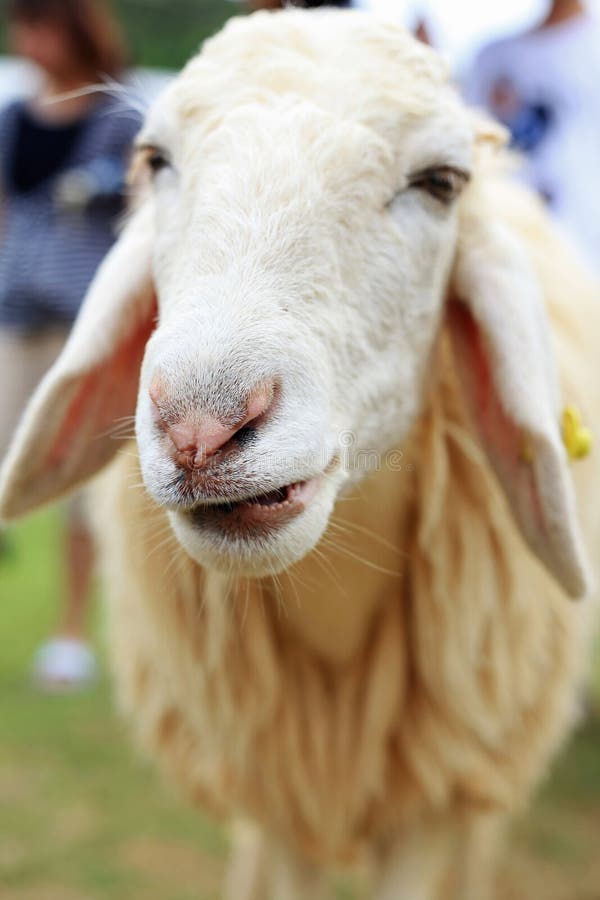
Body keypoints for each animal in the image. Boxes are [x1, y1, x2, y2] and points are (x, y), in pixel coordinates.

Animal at [1, 8, 600, 899]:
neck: (336, 610)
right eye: (156, 161)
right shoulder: (274, 786)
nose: (201, 428)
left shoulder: (433, 796)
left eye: (442, 182)